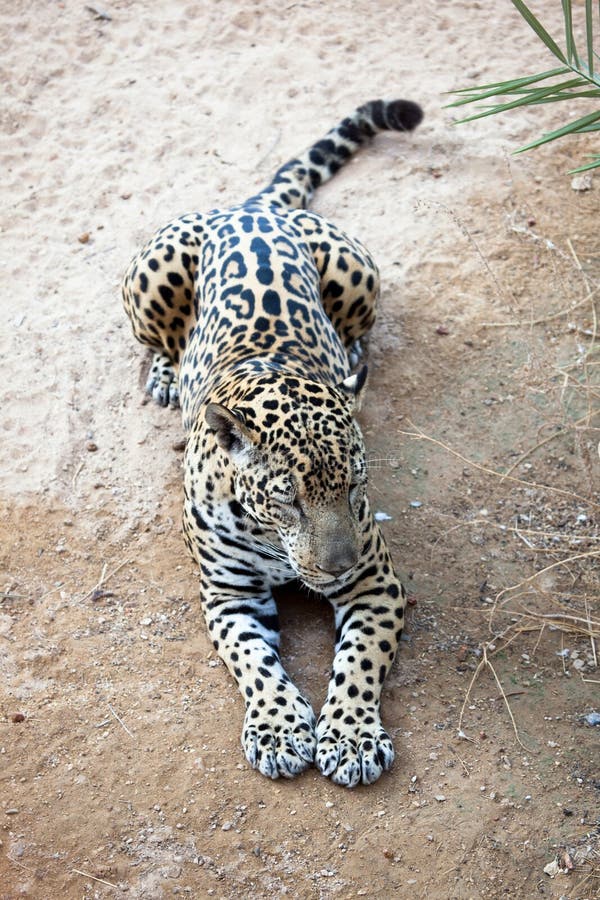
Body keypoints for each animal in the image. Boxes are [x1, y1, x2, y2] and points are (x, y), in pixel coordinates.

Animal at [122, 98, 423, 787]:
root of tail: (251, 208)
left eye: (357, 485)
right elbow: (254, 666)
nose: (336, 567)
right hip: (151, 276)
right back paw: (166, 376)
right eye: (287, 498)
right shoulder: (229, 596)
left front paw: (352, 737)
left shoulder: (376, 581)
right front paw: (281, 730)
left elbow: (360, 659)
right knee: (156, 340)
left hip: (358, 274)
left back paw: (353, 362)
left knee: (359, 332)